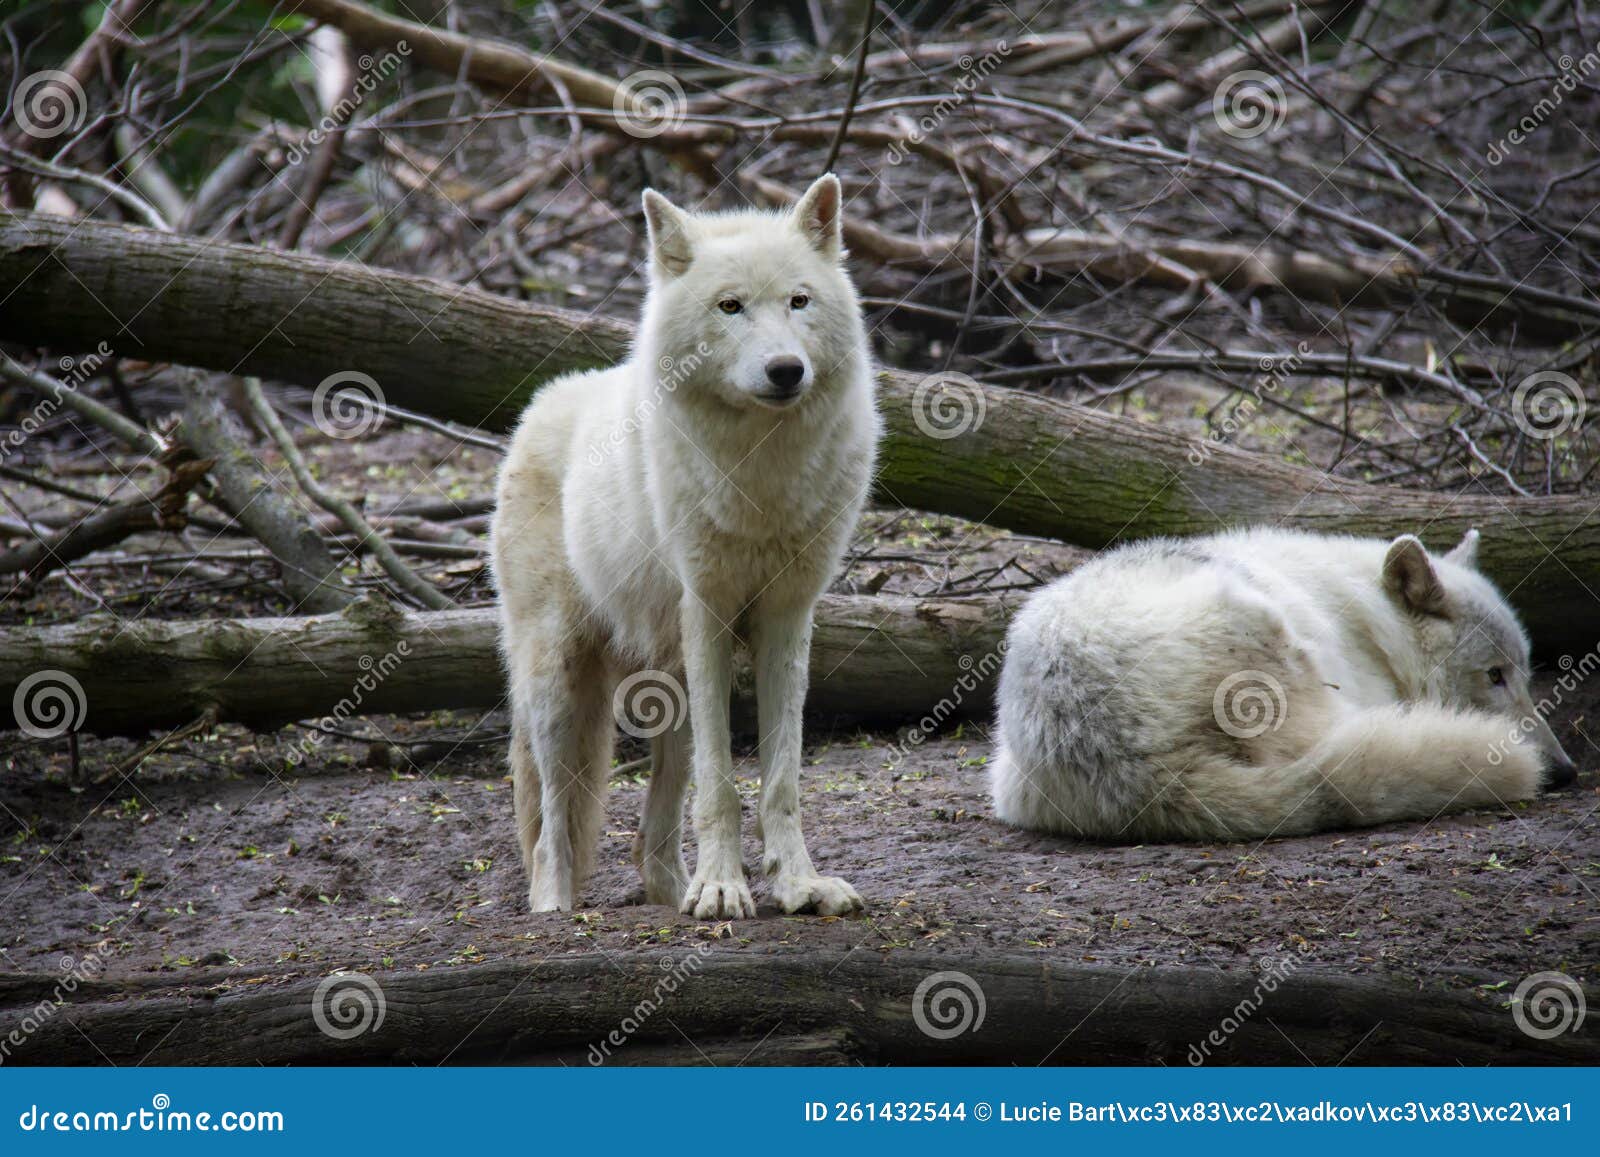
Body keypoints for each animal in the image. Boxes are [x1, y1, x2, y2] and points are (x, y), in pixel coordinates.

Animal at [490, 175, 878, 918]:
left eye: (799, 301)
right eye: (731, 307)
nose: (786, 370)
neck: (760, 474)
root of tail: (540, 406)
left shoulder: (789, 616)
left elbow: (781, 779)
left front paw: (797, 884)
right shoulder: (709, 611)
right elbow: (721, 783)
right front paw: (725, 888)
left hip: (664, 682)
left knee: (652, 827)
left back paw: (671, 892)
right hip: (558, 678)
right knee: (552, 815)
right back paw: (555, 903)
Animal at [989, 528, 1577, 841]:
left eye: (1524, 672)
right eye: (1494, 675)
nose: (1565, 772)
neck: (1367, 622)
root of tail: (1138, 772)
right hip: (1270, 637)